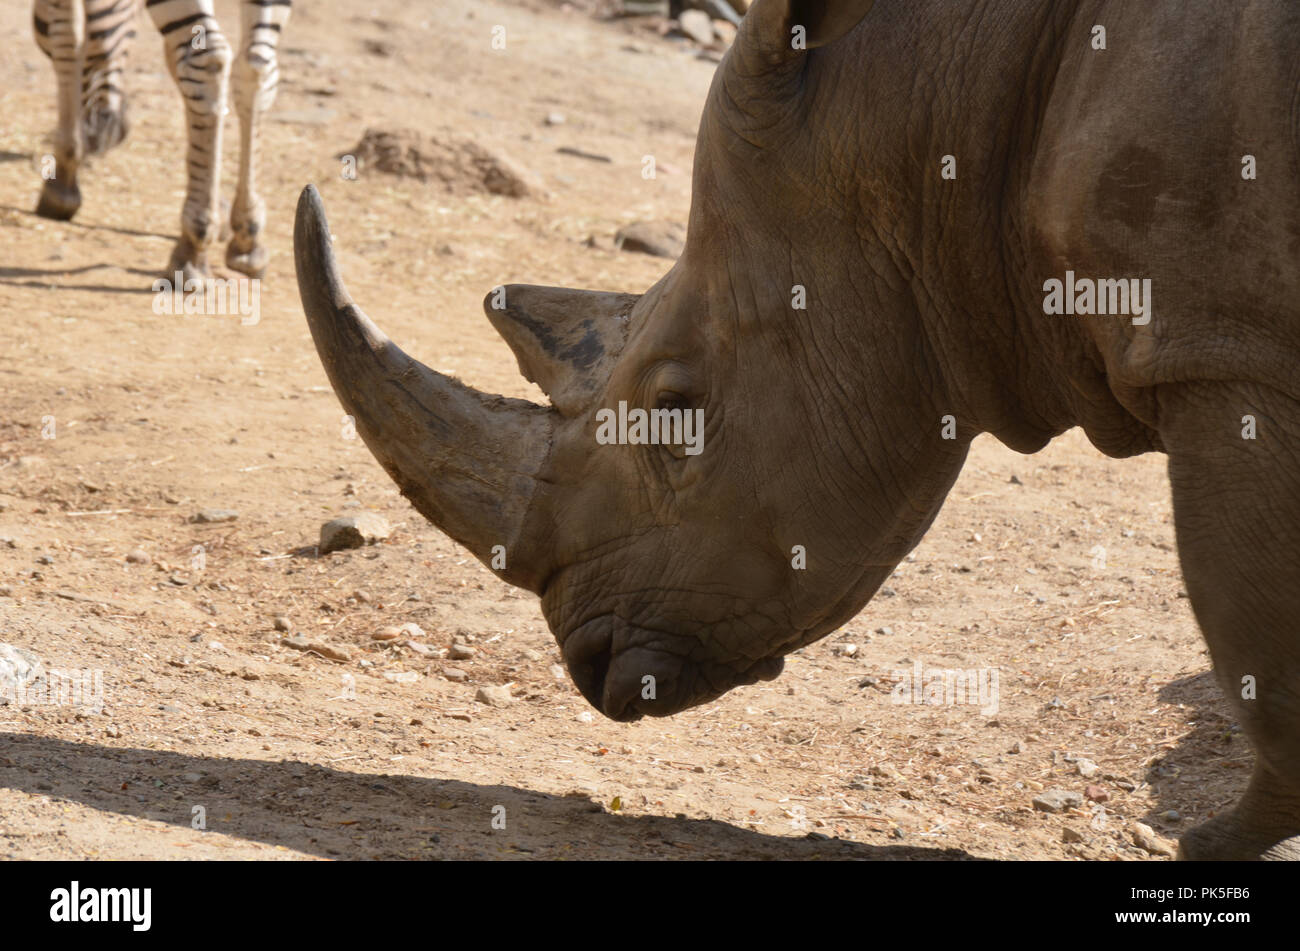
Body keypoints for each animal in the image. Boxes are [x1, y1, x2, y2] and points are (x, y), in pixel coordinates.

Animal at [295, 0, 1300, 860]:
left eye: (675, 411)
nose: (588, 661)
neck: (951, 109)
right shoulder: (1235, 345)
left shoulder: (1227, 353)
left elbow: (1258, 636)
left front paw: (1210, 843)